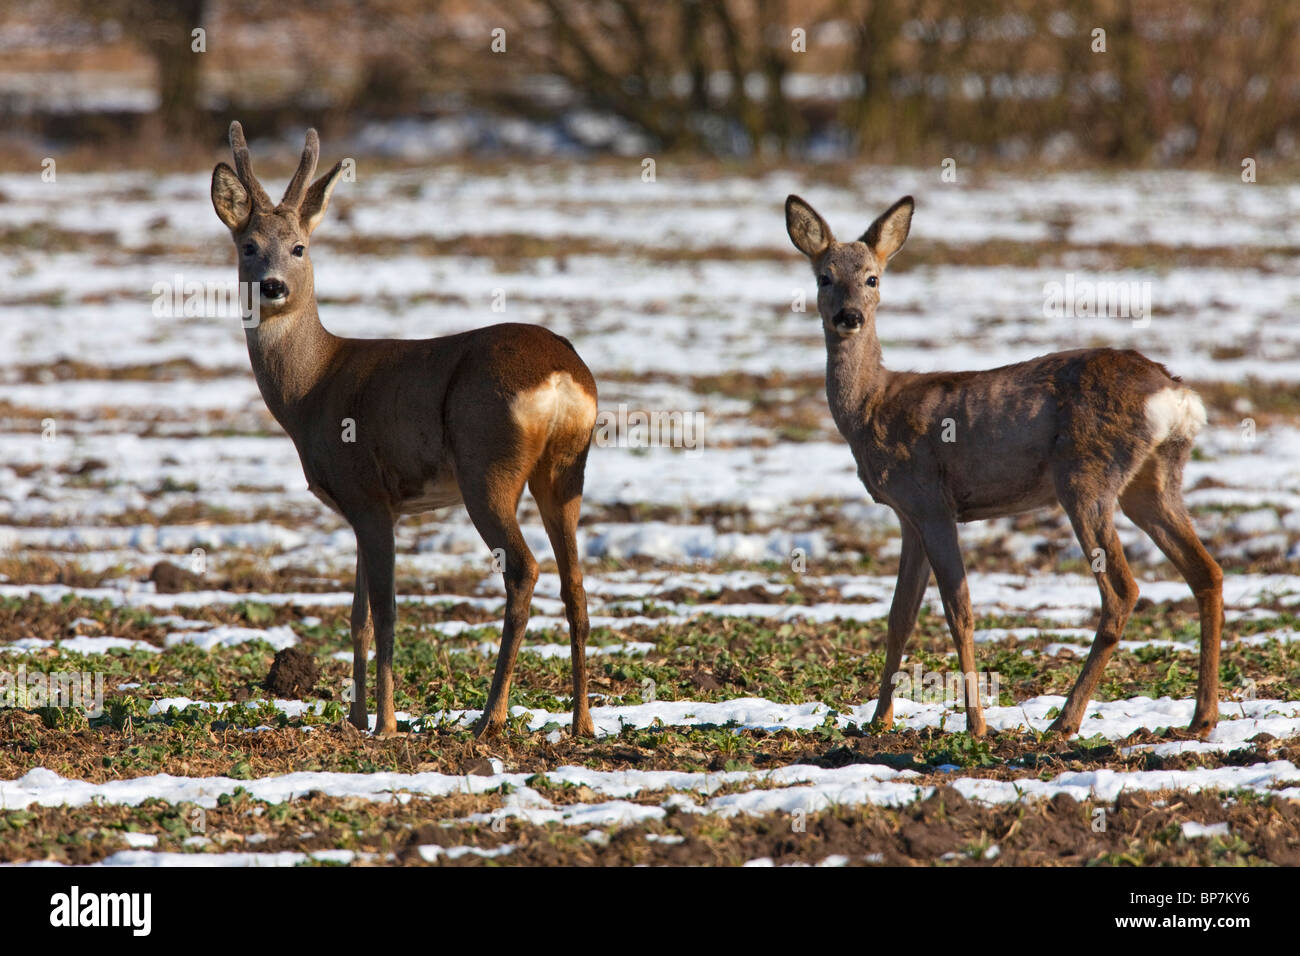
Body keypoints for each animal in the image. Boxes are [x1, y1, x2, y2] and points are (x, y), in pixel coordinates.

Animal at [210, 122, 599, 739]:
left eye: (299, 247)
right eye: (248, 246)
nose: (272, 287)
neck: (311, 389)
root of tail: (563, 377)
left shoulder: (367, 493)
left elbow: (387, 610)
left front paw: (386, 723)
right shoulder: (368, 506)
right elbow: (358, 615)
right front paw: (355, 715)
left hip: (488, 469)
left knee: (524, 569)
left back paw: (490, 716)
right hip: (566, 472)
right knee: (576, 584)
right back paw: (582, 721)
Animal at [785, 193, 1223, 739]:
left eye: (872, 278)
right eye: (824, 277)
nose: (848, 316)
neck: (873, 408)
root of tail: (1177, 397)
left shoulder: (932, 502)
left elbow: (960, 611)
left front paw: (976, 725)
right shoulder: (908, 516)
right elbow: (899, 616)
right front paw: (878, 720)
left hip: (1085, 478)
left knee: (1123, 590)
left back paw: (1065, 721)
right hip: (1154, 481)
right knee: (1207, 572)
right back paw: (1202, 717)